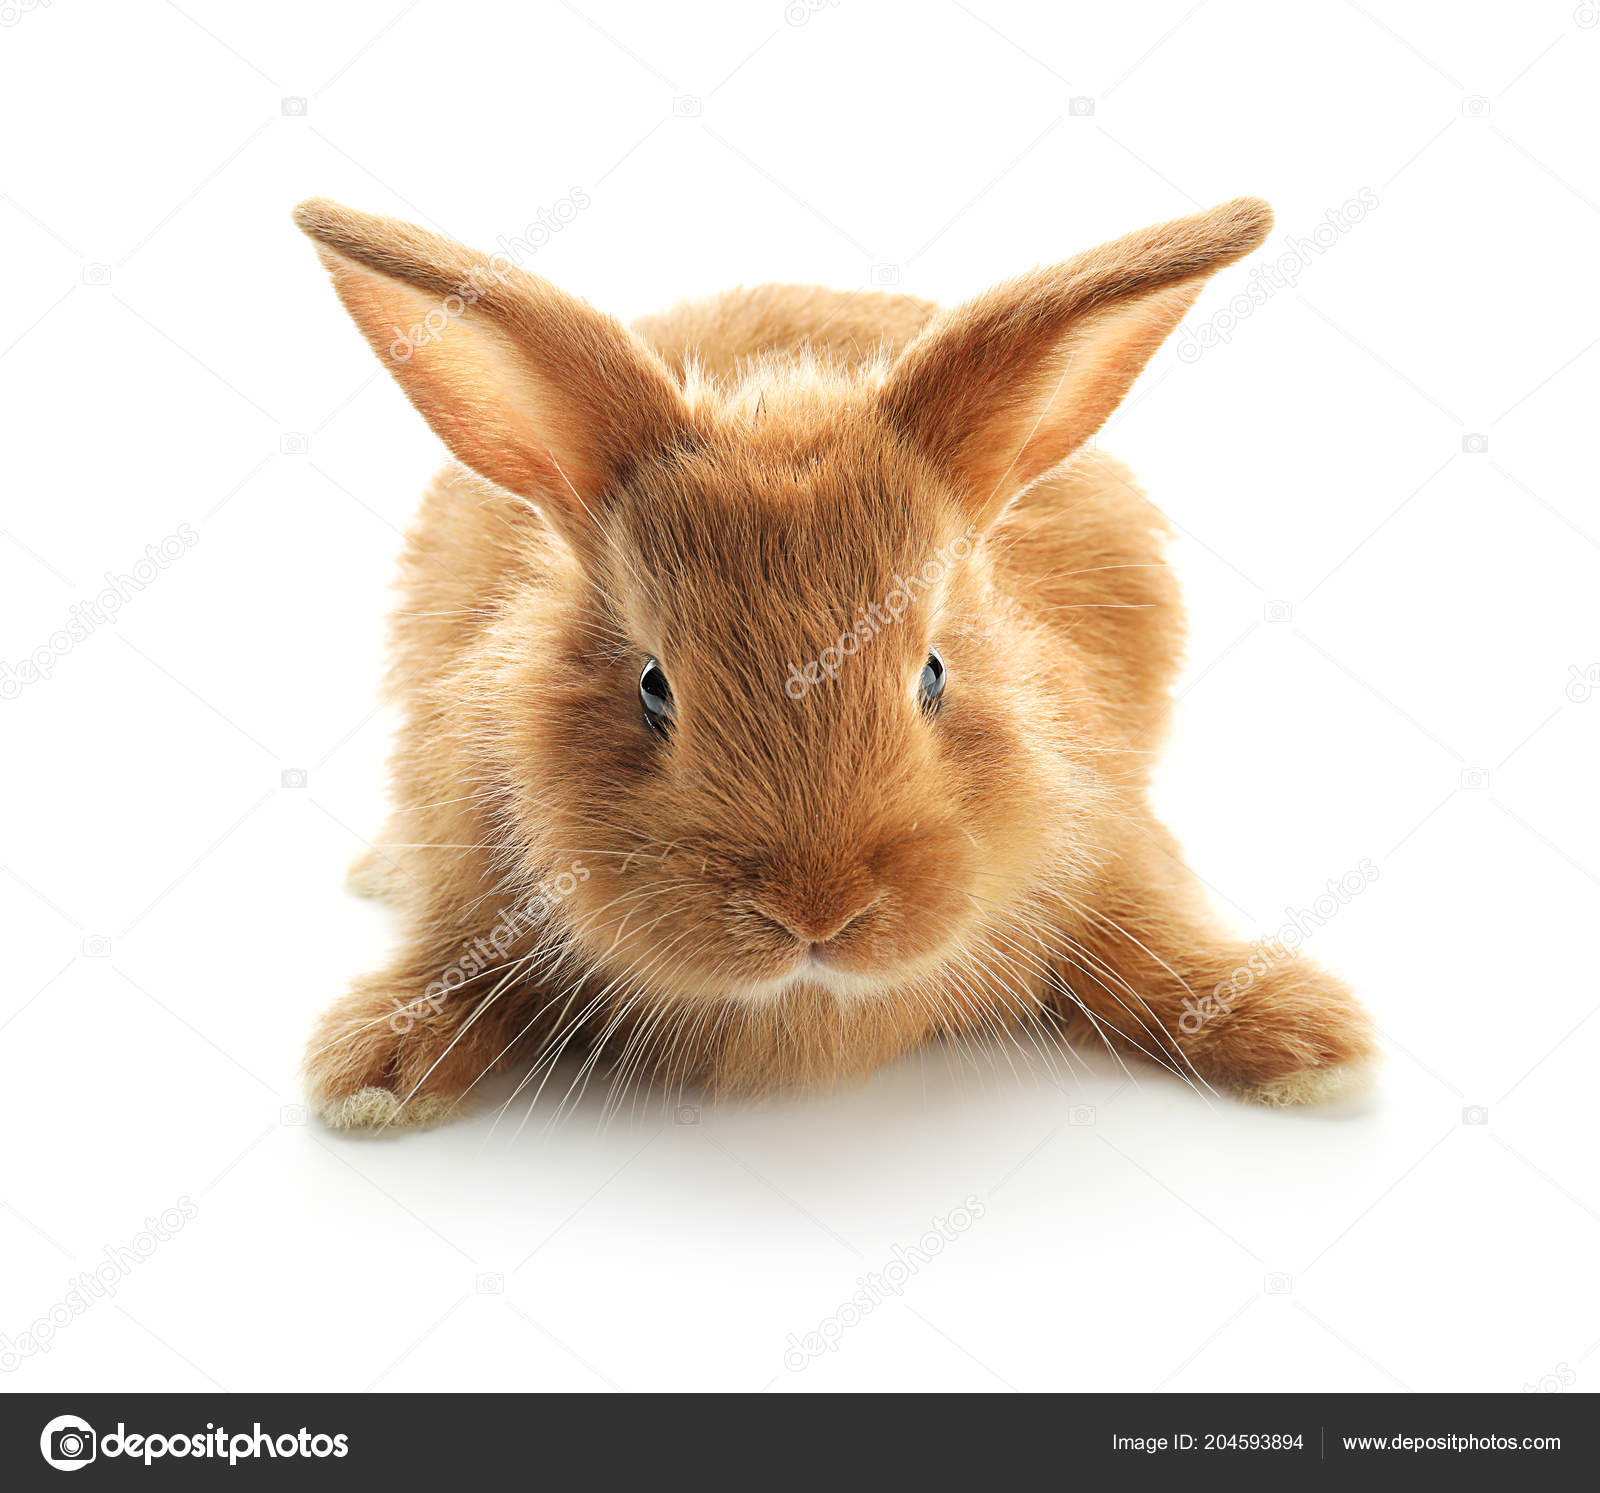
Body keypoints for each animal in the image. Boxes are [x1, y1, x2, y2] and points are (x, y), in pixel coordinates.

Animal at [293, 193, 1376, 1130]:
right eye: (652, 686)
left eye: (934, 673)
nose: (816, 912)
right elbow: (452, 963)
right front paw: (375, 1069)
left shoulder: (1110, 839)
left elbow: (1161, 946)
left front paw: (1309, 1043)